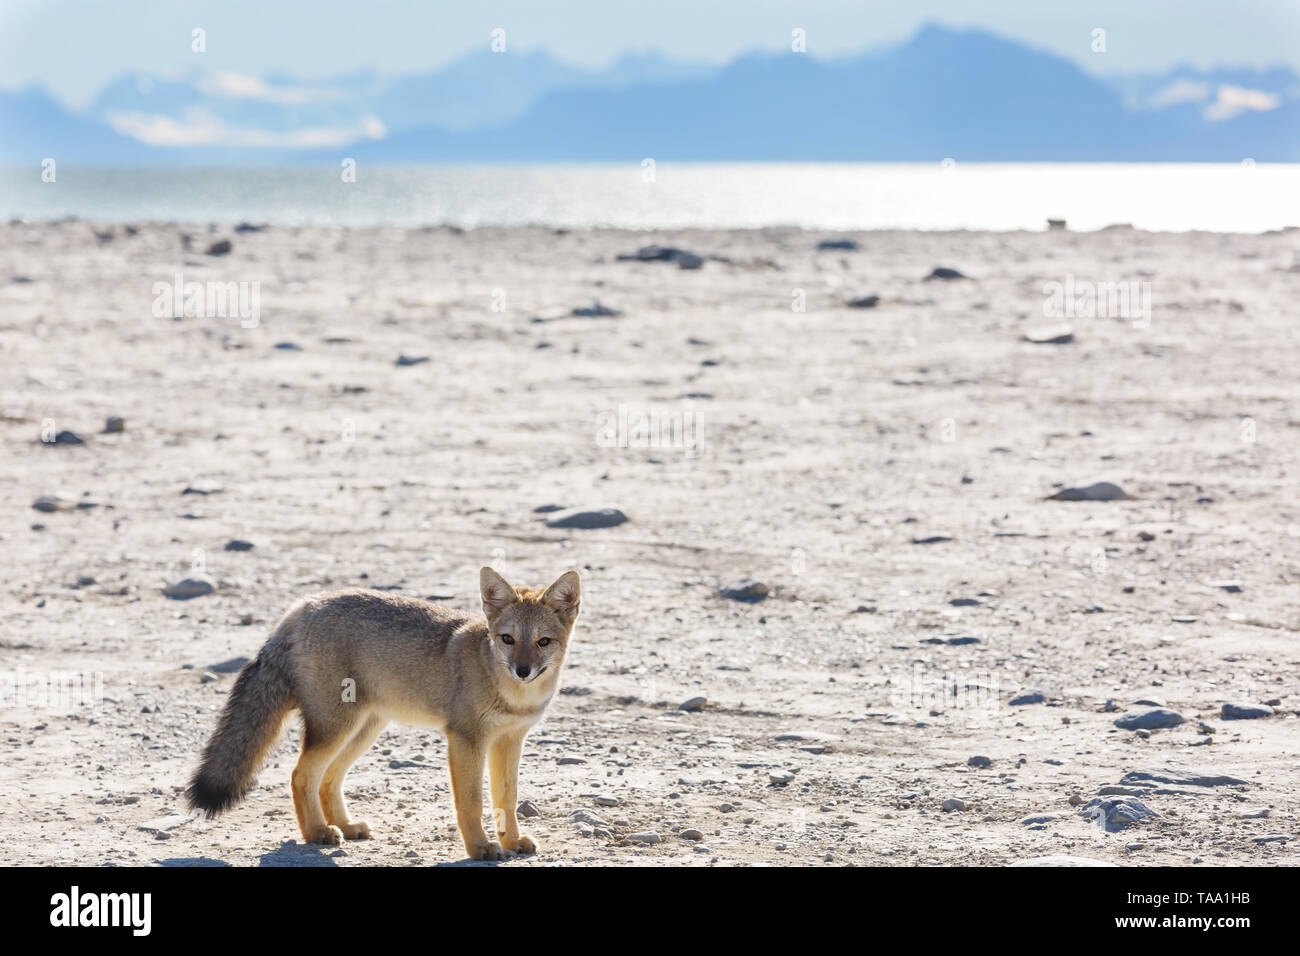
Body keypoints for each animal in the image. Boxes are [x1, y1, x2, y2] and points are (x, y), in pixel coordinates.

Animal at [185, 566, 580, 860]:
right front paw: (481, 848)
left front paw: (512, 842)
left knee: (328, 780)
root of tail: (302, 607)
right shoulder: (466, 739)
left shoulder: (509, 739)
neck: (512, 694)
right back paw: (317, 832)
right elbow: (471, 801)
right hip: (337, 727)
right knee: (301, 776)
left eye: (543, 642)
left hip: (364, 730)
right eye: (507, 639)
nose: (523, 671)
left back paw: (345, 826)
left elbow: (506, 799)